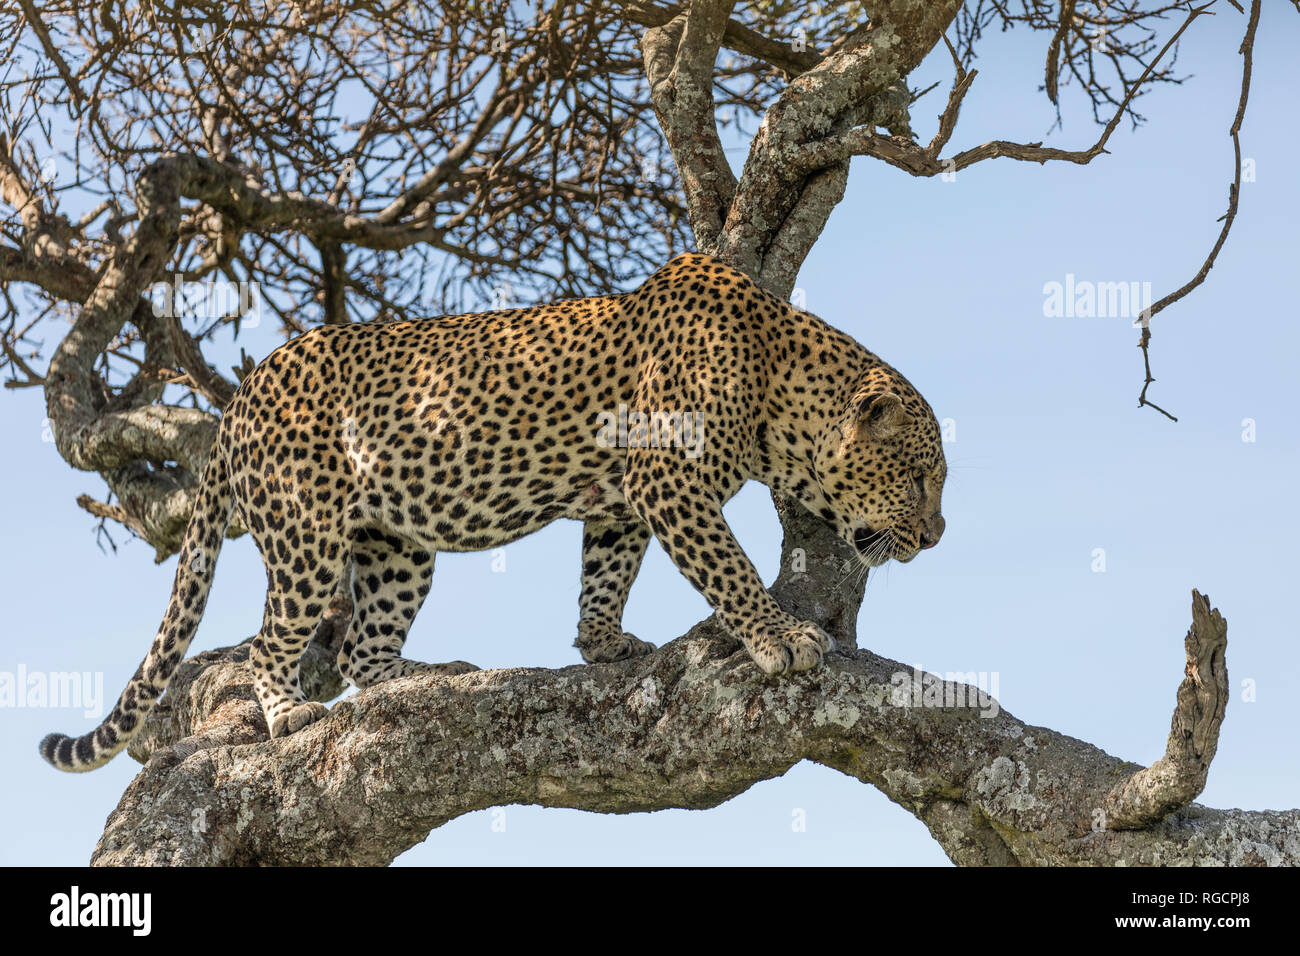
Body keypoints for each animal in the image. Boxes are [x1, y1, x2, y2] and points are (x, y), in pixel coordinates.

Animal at [41, 252, 946, 772]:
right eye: (922, 477)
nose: (936, 536)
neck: (778, 388)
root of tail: (240, 397)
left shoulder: (623, 500)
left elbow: (607, 573)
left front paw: (603, 642)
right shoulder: (669, 482)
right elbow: (731, 567)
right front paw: (782, 637)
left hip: (397, 545)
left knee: (365, 649)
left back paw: (427, 677)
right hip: (306, 535)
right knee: (274, 639)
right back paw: (288, 708)